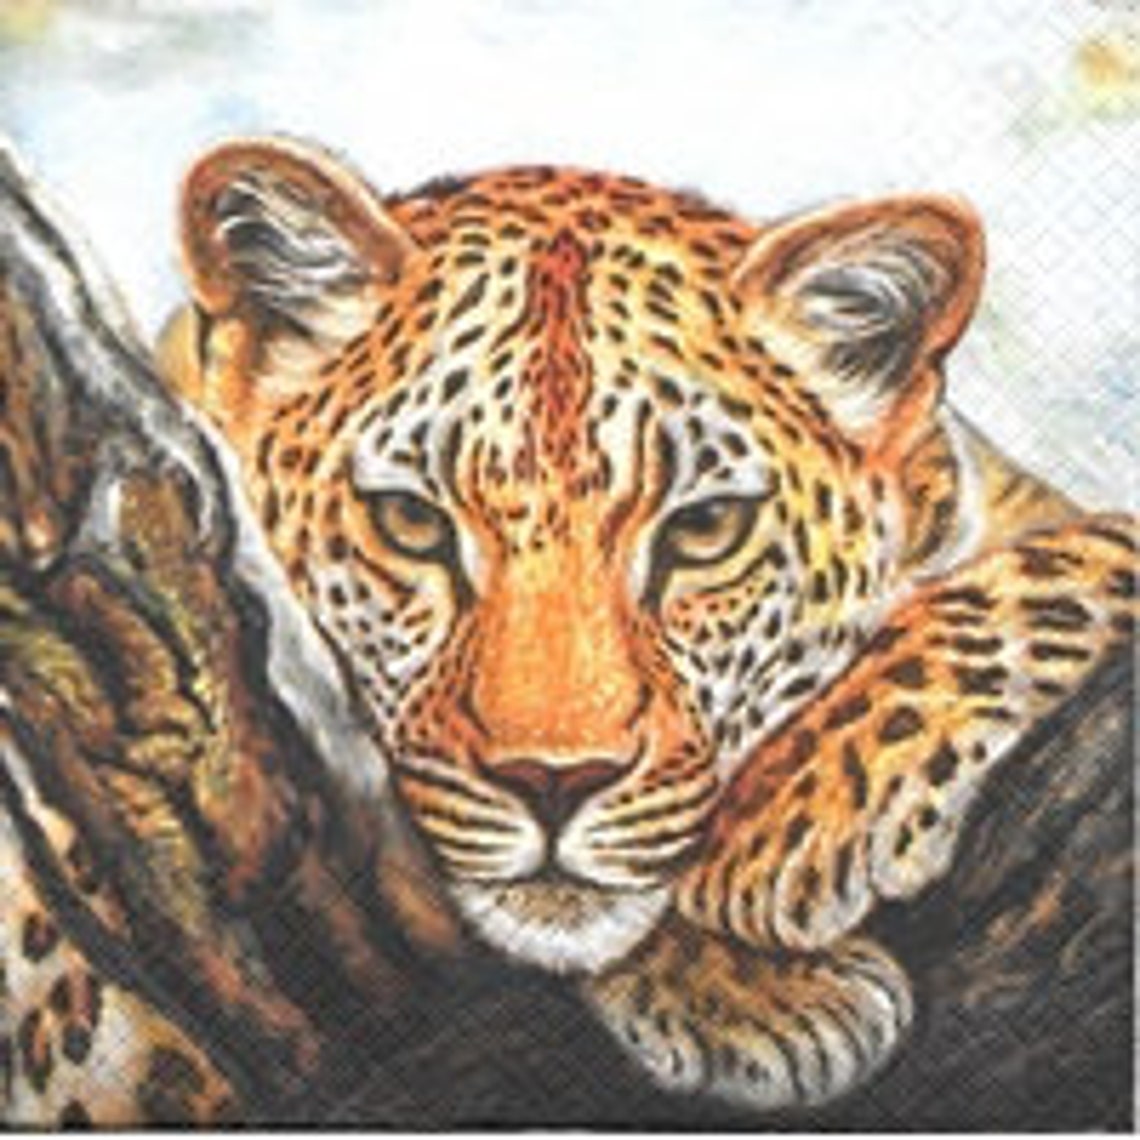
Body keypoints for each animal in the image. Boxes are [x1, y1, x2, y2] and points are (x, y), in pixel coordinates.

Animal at [1, 133, 1134, 1125]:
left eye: (705, 530)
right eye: (411, 522)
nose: (554, 782)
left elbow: (1084, 554)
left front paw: (795, 820)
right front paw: (752, 996)